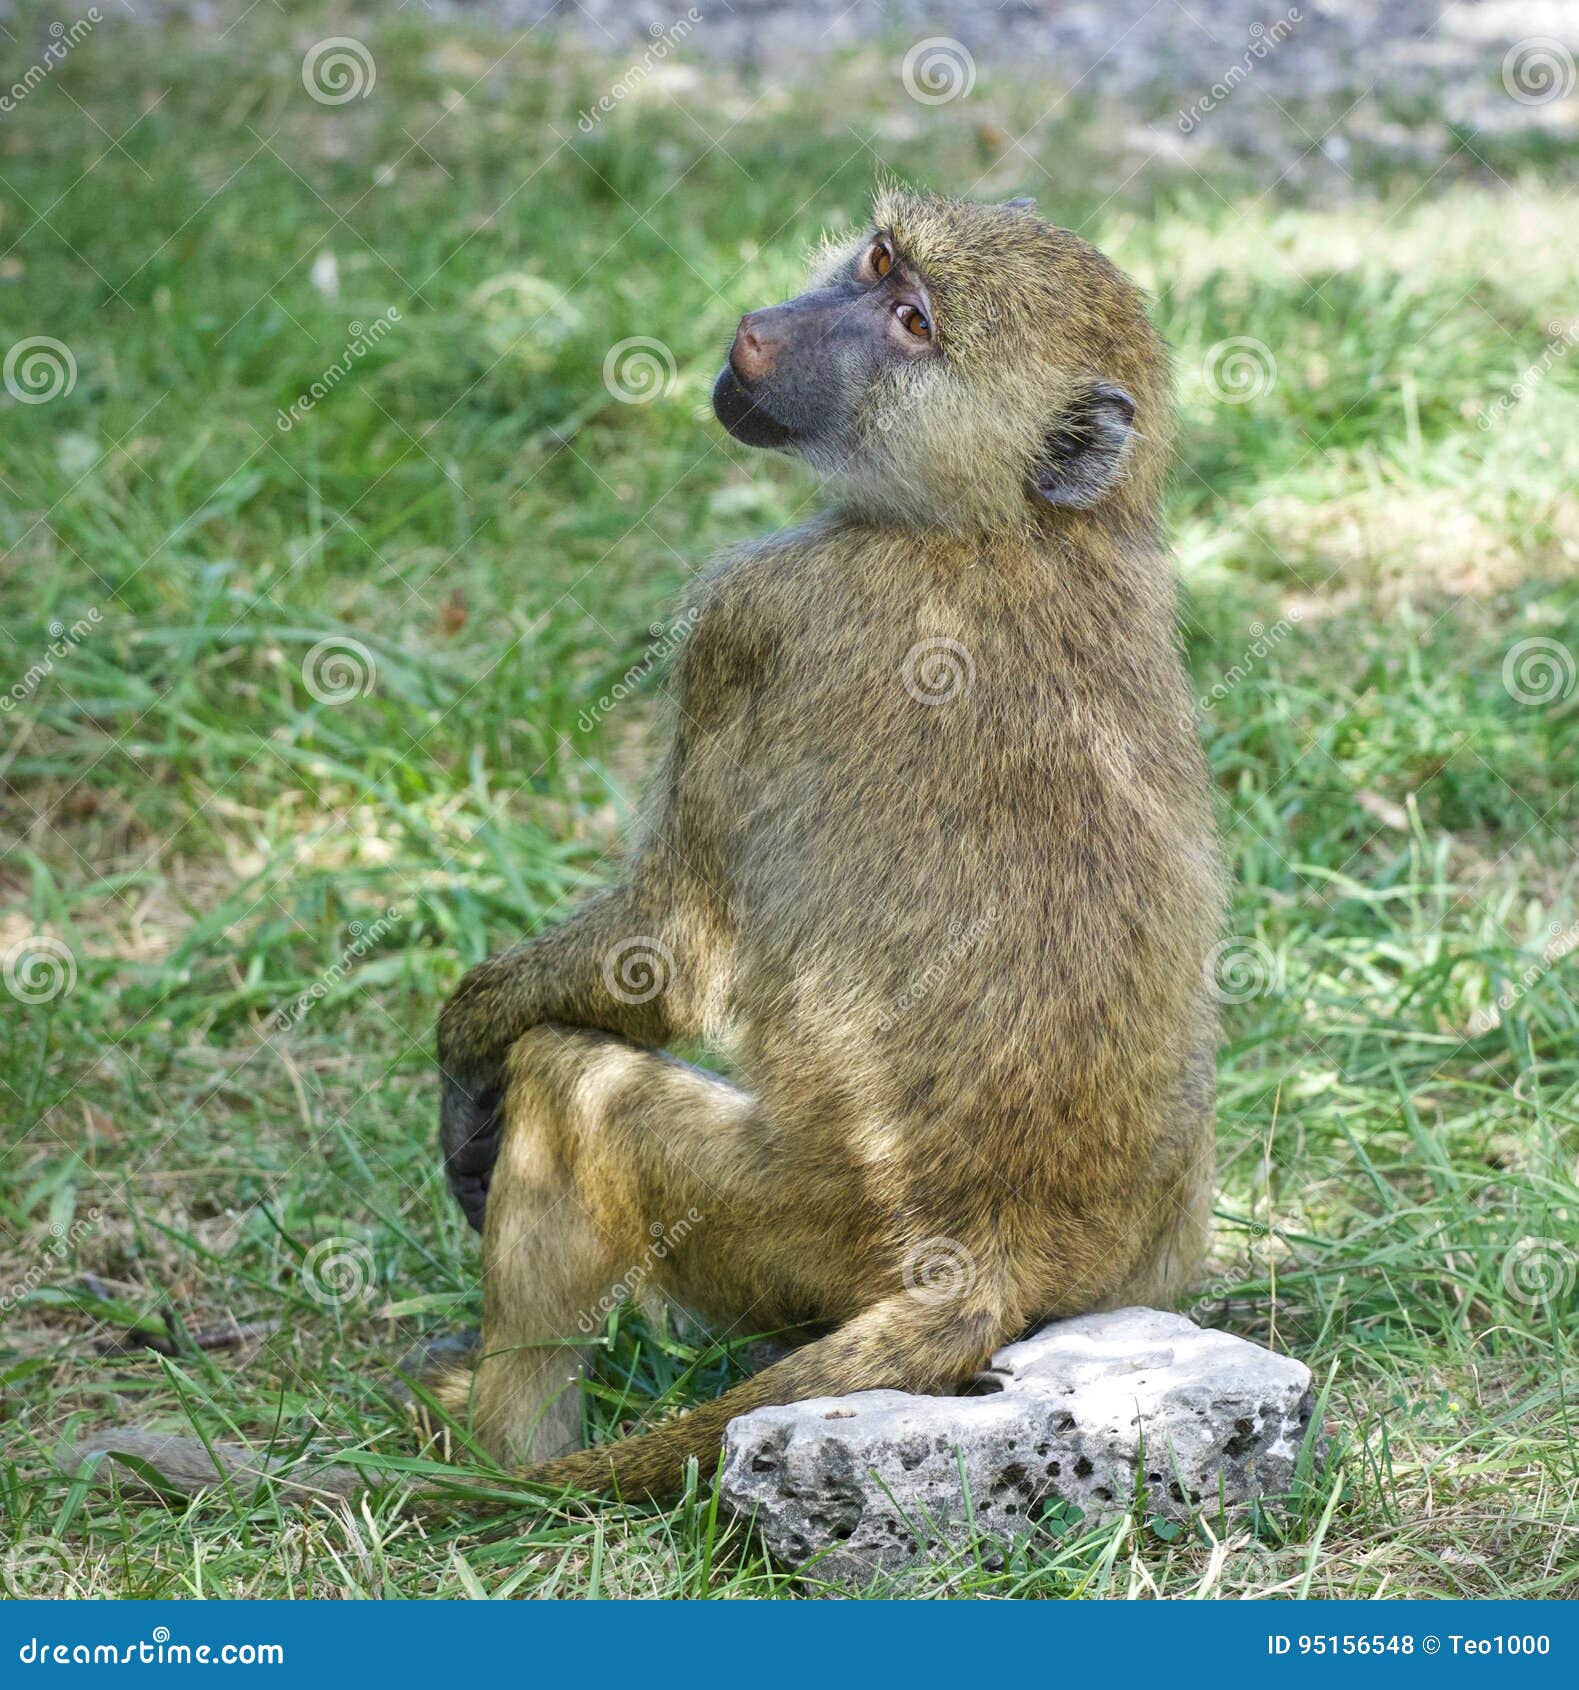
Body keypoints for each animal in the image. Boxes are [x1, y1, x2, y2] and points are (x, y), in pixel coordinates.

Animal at [68, 188, 1223, 1509]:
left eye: (916, 325)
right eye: (878, 264)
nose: (763, 330)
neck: (1017, 526)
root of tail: (1002, 1253)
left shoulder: (749, 618)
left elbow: (662, 958)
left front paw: (465, 1059)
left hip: (795, 1220)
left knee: (575, 1089)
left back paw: (495, 1451)